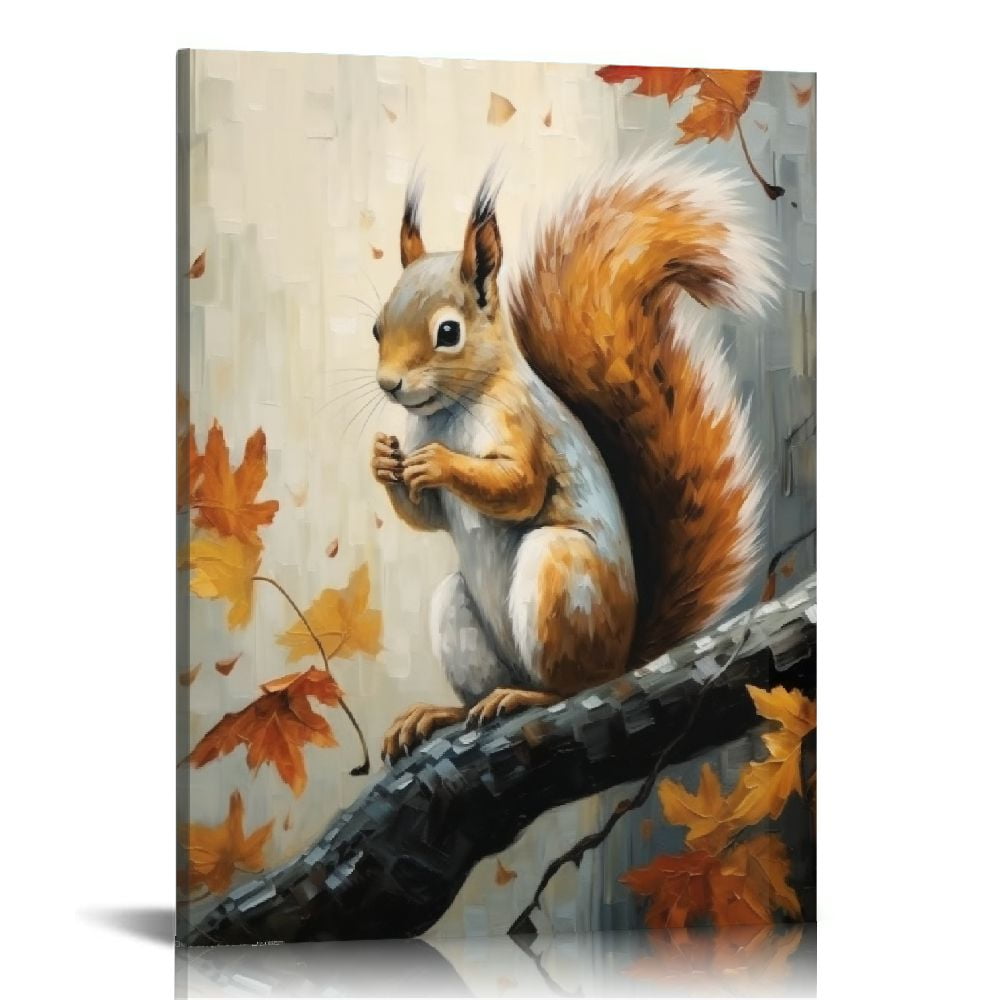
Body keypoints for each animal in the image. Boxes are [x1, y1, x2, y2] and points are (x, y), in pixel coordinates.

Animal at [371, 152, 778, 762]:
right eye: (376, 326)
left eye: (448, 332)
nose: (389, 384)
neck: (448, 411)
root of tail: (625, 658)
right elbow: (426, 516)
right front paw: (382, 461)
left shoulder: (524, 427)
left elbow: (520, 488)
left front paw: (439, 464)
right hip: (458, 613)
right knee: (476, 688)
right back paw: (443, 712)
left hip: (560, 575)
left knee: (570, 684)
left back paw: (527, 698)